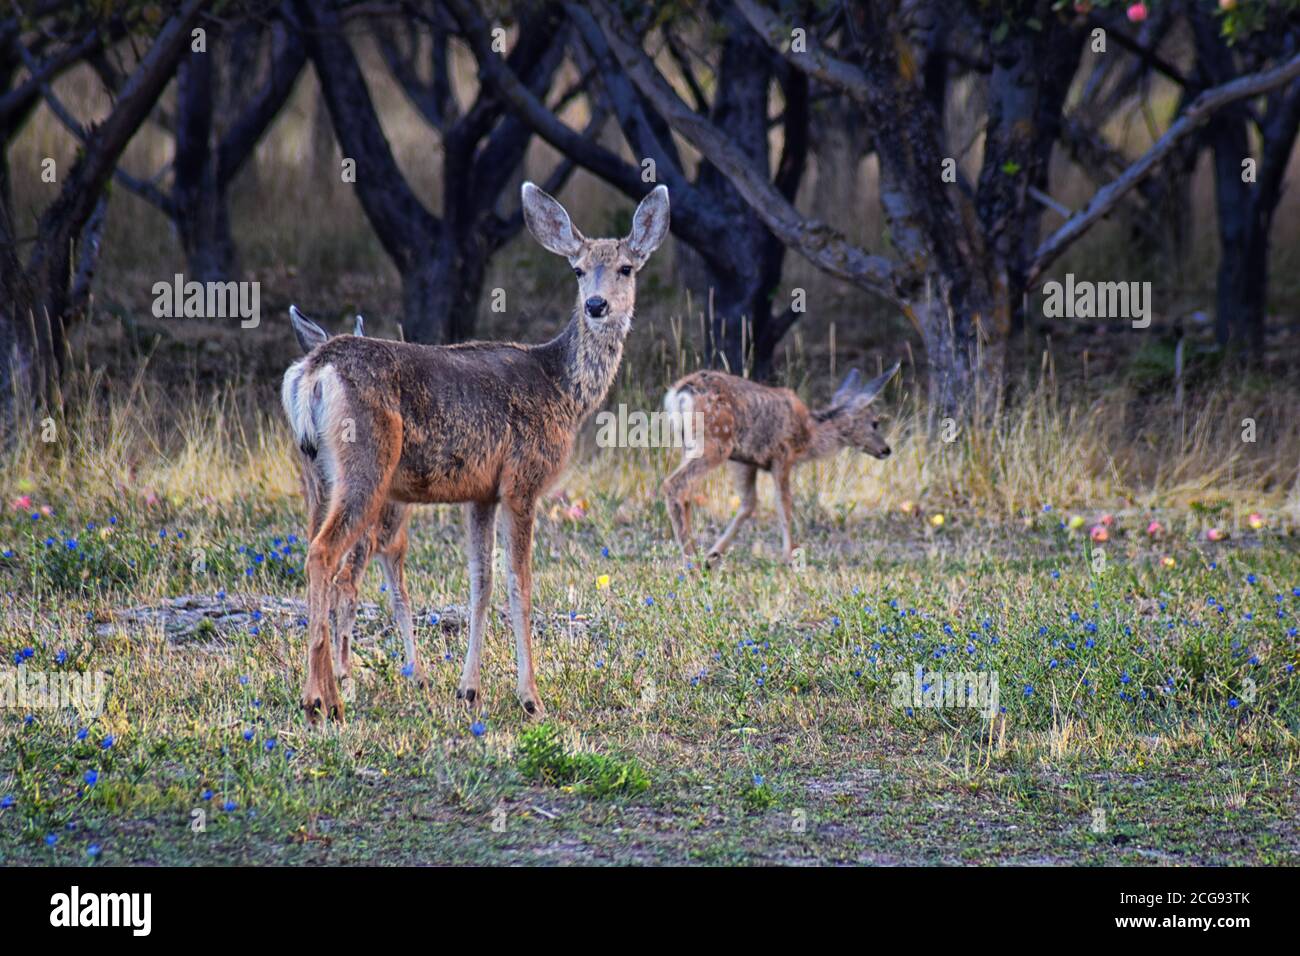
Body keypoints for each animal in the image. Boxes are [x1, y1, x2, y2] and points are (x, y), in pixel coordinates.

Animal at [281, 182, 669, 724]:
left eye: (626, 268)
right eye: (577, 268)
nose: (596, 304)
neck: (561, 388)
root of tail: (314, 370)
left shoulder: (480, 491)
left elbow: (480, 582)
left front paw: (469, 689)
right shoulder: (522, 479)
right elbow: (519, 585)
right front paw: (531, 698)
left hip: (315, 473)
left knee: (315, 549)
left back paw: (312, 692)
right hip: (366, 464)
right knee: (324, 554)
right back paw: (328, 699)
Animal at [661, 362, 899, 567]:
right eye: (875, 423)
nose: (886, 449)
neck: (810, 434)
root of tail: (681, 392)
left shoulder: (744, 460)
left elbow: (749, 504)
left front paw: (713, 555)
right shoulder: (782, 455)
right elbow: (784, 504)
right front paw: (790, 557)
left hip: (691, 444)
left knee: (686, 492)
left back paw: (696, 557)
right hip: (716, 443)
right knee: (674, 484)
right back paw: (691, 562)